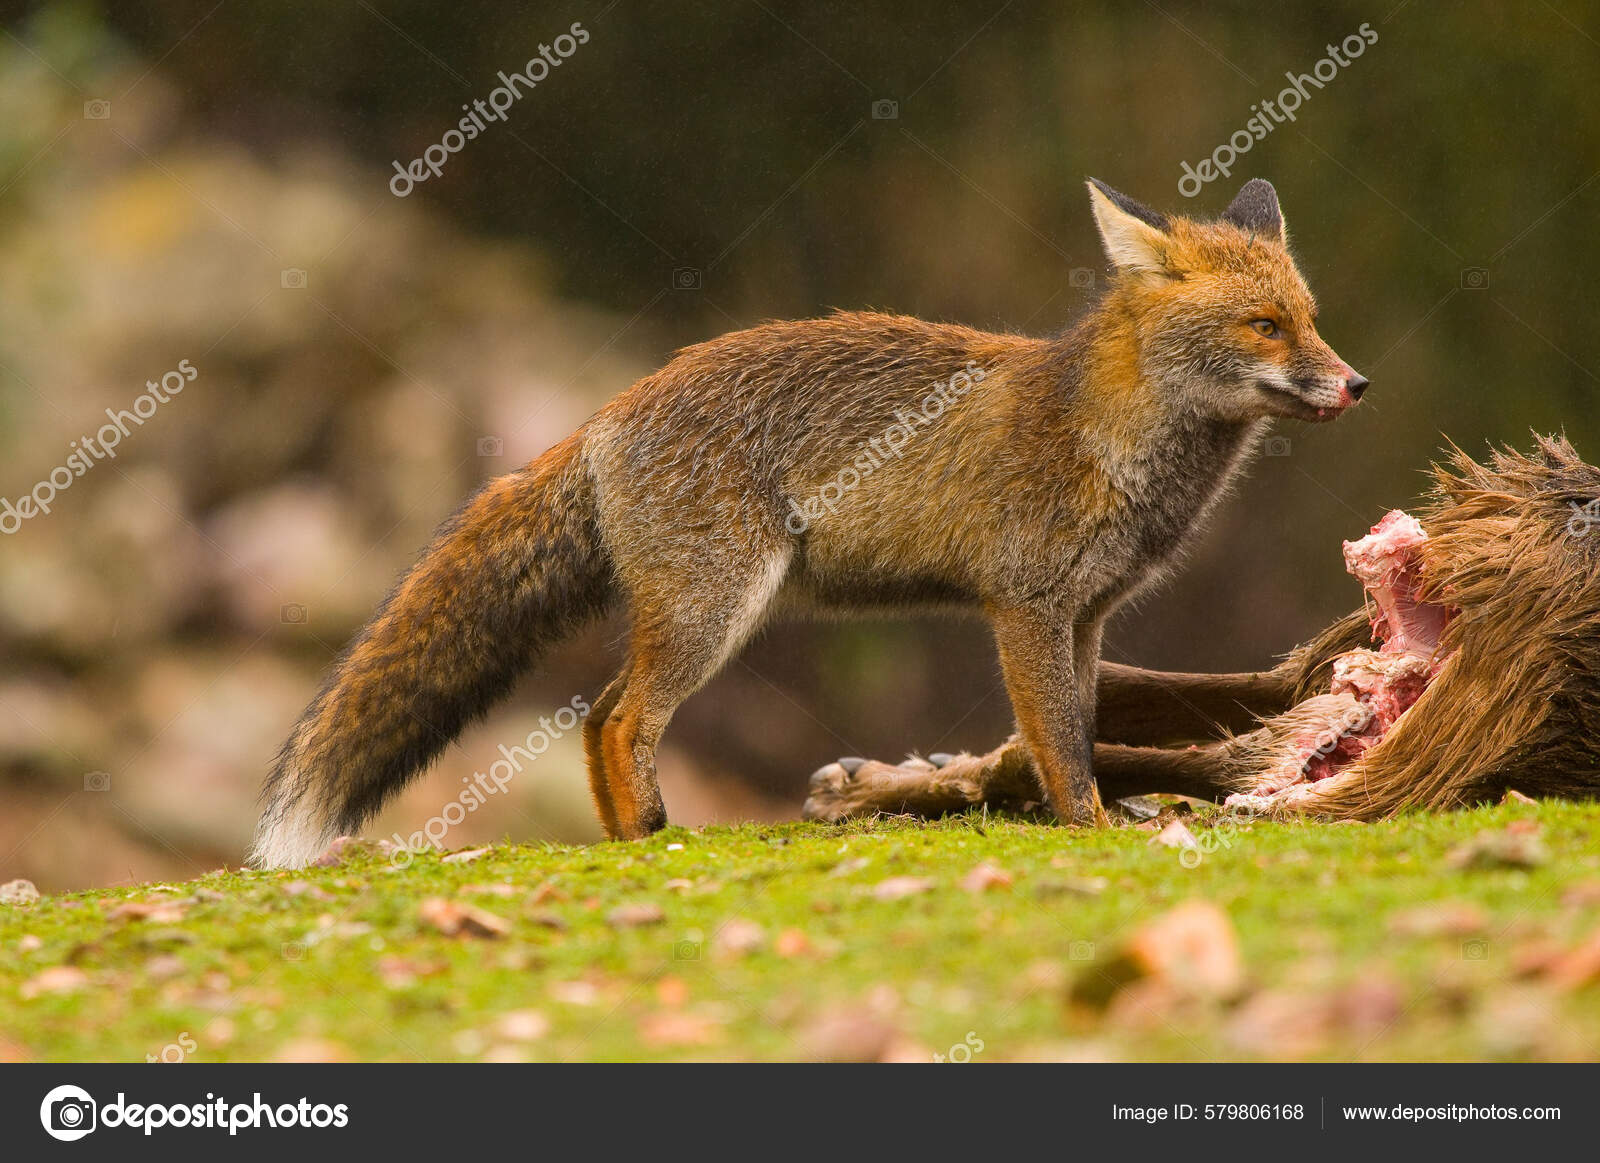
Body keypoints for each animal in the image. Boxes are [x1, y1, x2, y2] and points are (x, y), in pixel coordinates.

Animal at [251, 176, 1367, 869]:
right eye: (1265, 326)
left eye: (1312, 318)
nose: (1356, 384)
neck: (1111, 434)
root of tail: (610, 410)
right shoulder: (1025, 610)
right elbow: (1058, 742)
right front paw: (1088, 828)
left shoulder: (1087, 617)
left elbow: (1083, 731)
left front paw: (1106, 810)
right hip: (714, 611)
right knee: (618, 716)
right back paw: (649, 837)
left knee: (603, 713)